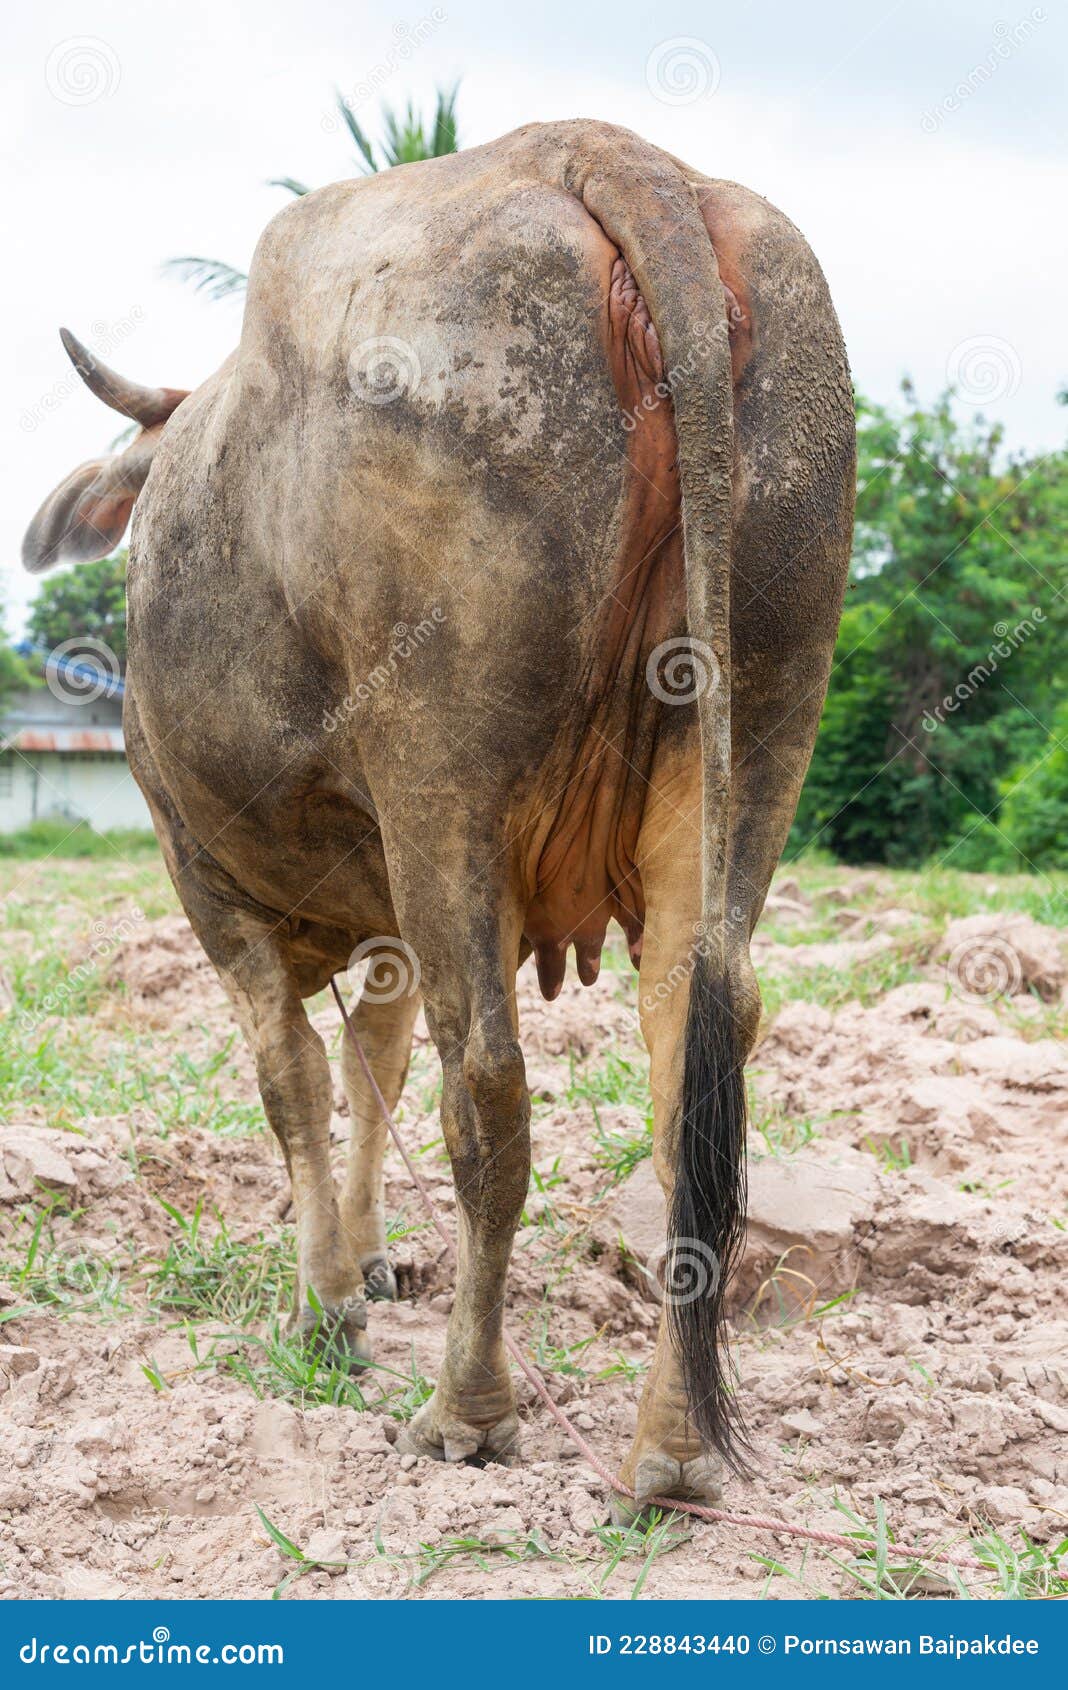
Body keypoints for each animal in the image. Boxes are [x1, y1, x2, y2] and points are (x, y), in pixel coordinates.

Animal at [23, 120, 854, 1517]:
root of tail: (605, 154)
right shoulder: (384, 918)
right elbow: (375, 1062)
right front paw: (362, 1259)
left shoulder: (210, 884)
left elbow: (299, 1077)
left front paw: (326, 1302)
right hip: (757, 731)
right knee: (694, 1060)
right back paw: (673, 1445)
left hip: (441, 780)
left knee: (491, 1087)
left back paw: (469, 1407)